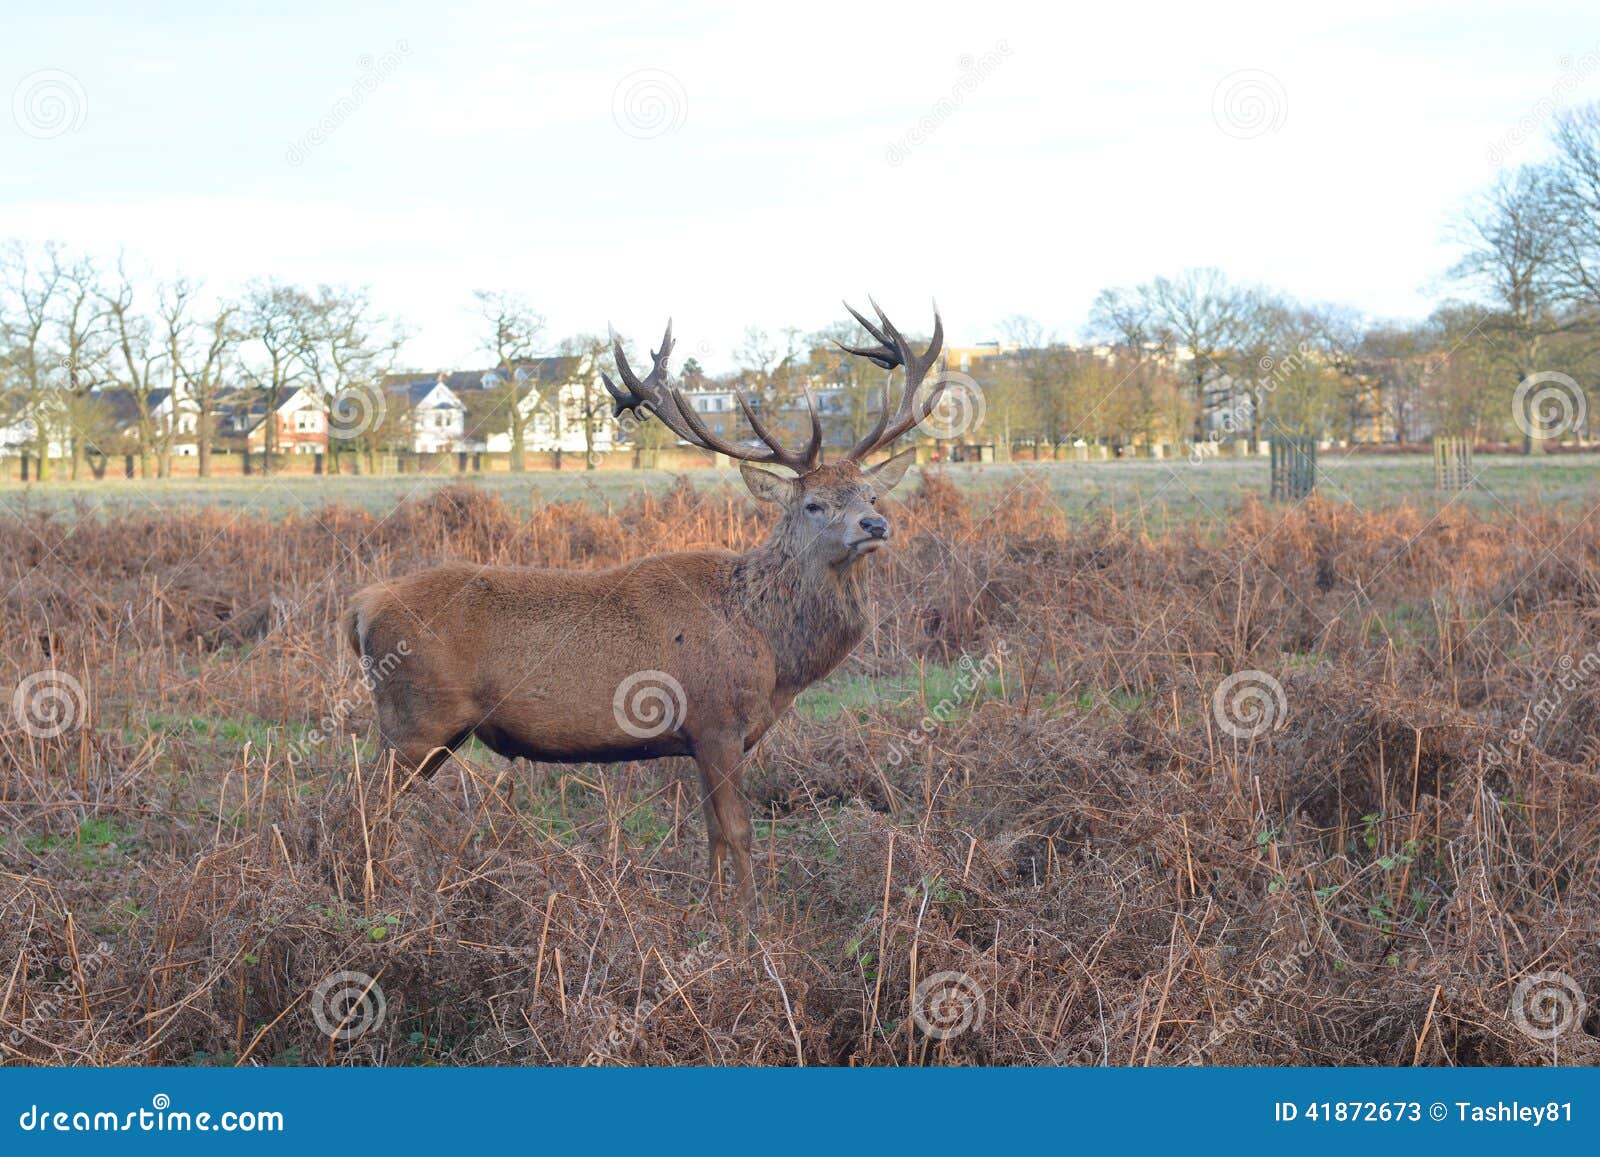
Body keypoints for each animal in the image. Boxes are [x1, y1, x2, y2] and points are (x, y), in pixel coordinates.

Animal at [341, 301, 946, 925]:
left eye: (871, 495)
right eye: (814, 504)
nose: (875, 525)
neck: (770, 646)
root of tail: (361, 607)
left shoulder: (701, 738)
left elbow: (711, 832)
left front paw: (711, 913)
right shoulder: (716, 720)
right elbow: (739, 830)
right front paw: (750, 923)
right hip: (415, 720)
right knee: (363, 808)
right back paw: (373, 900)